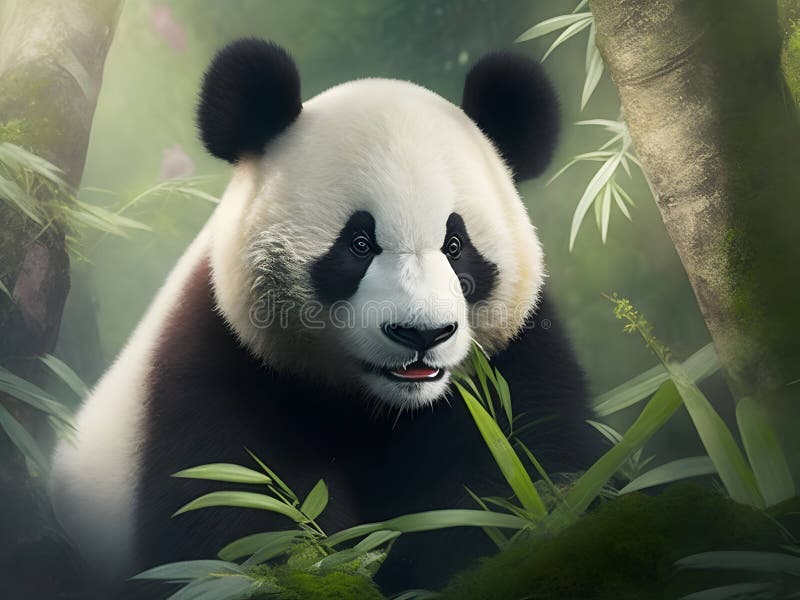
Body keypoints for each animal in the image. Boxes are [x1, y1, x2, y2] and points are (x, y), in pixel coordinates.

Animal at [52, 39, 596, 594]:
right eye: (358, 244)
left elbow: (527, 469)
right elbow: (234, 521)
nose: (421, 333)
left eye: (455, 244)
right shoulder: (218, 368)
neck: (376, 405)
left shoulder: (513, 362)